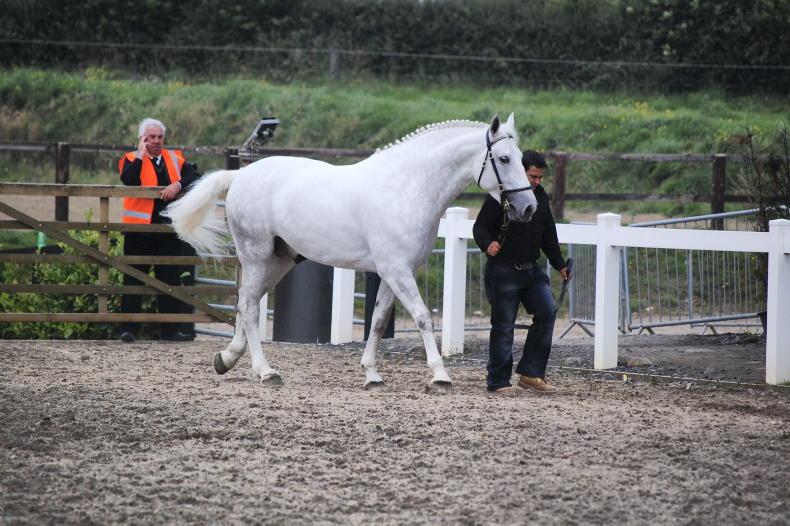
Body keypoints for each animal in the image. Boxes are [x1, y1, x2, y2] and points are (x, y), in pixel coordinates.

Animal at [164, 113, 537, 392]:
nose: (529, 208)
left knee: (247, 302)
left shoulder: (392, 272)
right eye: (504, 159)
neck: (407, 187)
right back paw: (265, 371)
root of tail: (240, 174)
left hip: (279, 260)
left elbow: (378, 321)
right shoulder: (398, 271)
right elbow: (422, 317)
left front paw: (372, 375)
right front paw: (440, 376)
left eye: (521, 159)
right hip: (256, 255)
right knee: (250, 307)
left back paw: (228, 359)